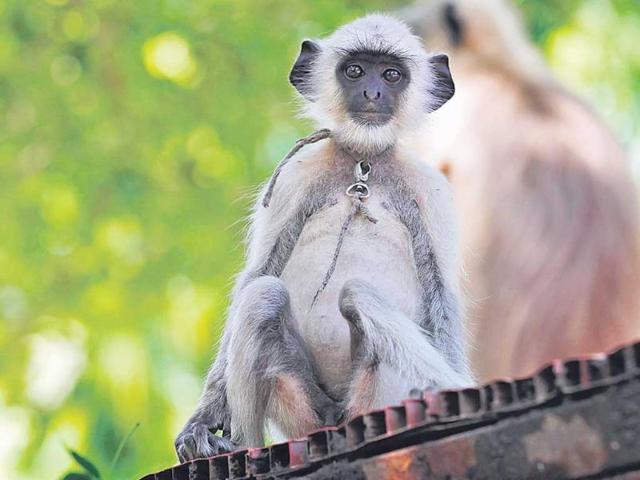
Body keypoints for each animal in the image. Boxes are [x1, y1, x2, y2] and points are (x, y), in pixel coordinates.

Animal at [174, 14, 473, 461]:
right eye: (355, 71)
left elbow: (440, 293)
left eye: (391, 74)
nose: (372, 92)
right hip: (301, 410)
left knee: (356, 294)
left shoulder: (429, 191)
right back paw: (244, 444)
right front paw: (202, 421)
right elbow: (259, 273)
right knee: (263, 295)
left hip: (375, 395)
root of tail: (338, 416)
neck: (363, 164)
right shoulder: (295, 179)